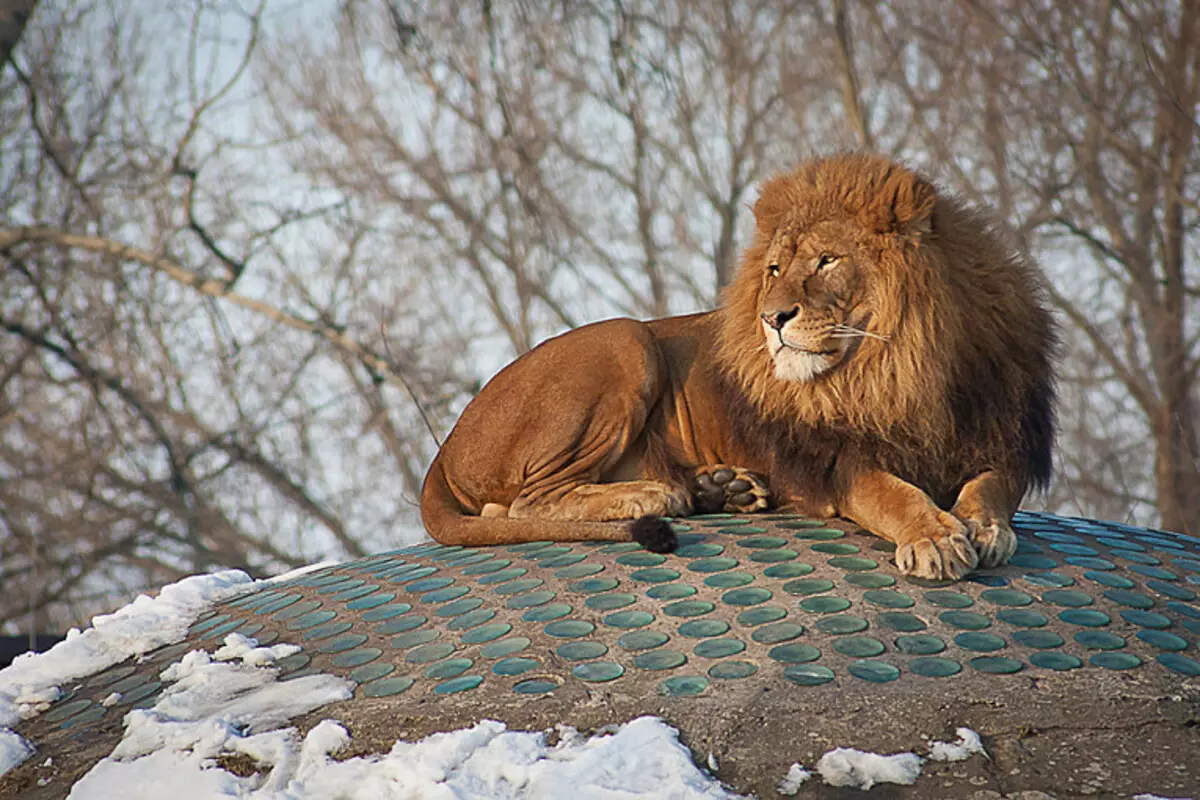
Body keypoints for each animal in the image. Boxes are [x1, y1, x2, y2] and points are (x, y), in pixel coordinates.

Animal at [417, 153, 1056, 578]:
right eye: (774, 269)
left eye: (826, 261)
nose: (772, 318)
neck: (896, 367)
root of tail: (442, 453)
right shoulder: (830, 463)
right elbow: (888, 493)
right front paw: (934, 537)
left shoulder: (1002, 440)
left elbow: (993, 487)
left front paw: (984, 526)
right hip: (626, 339)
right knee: (523, 502)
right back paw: (656, 494)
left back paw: (721, 488)